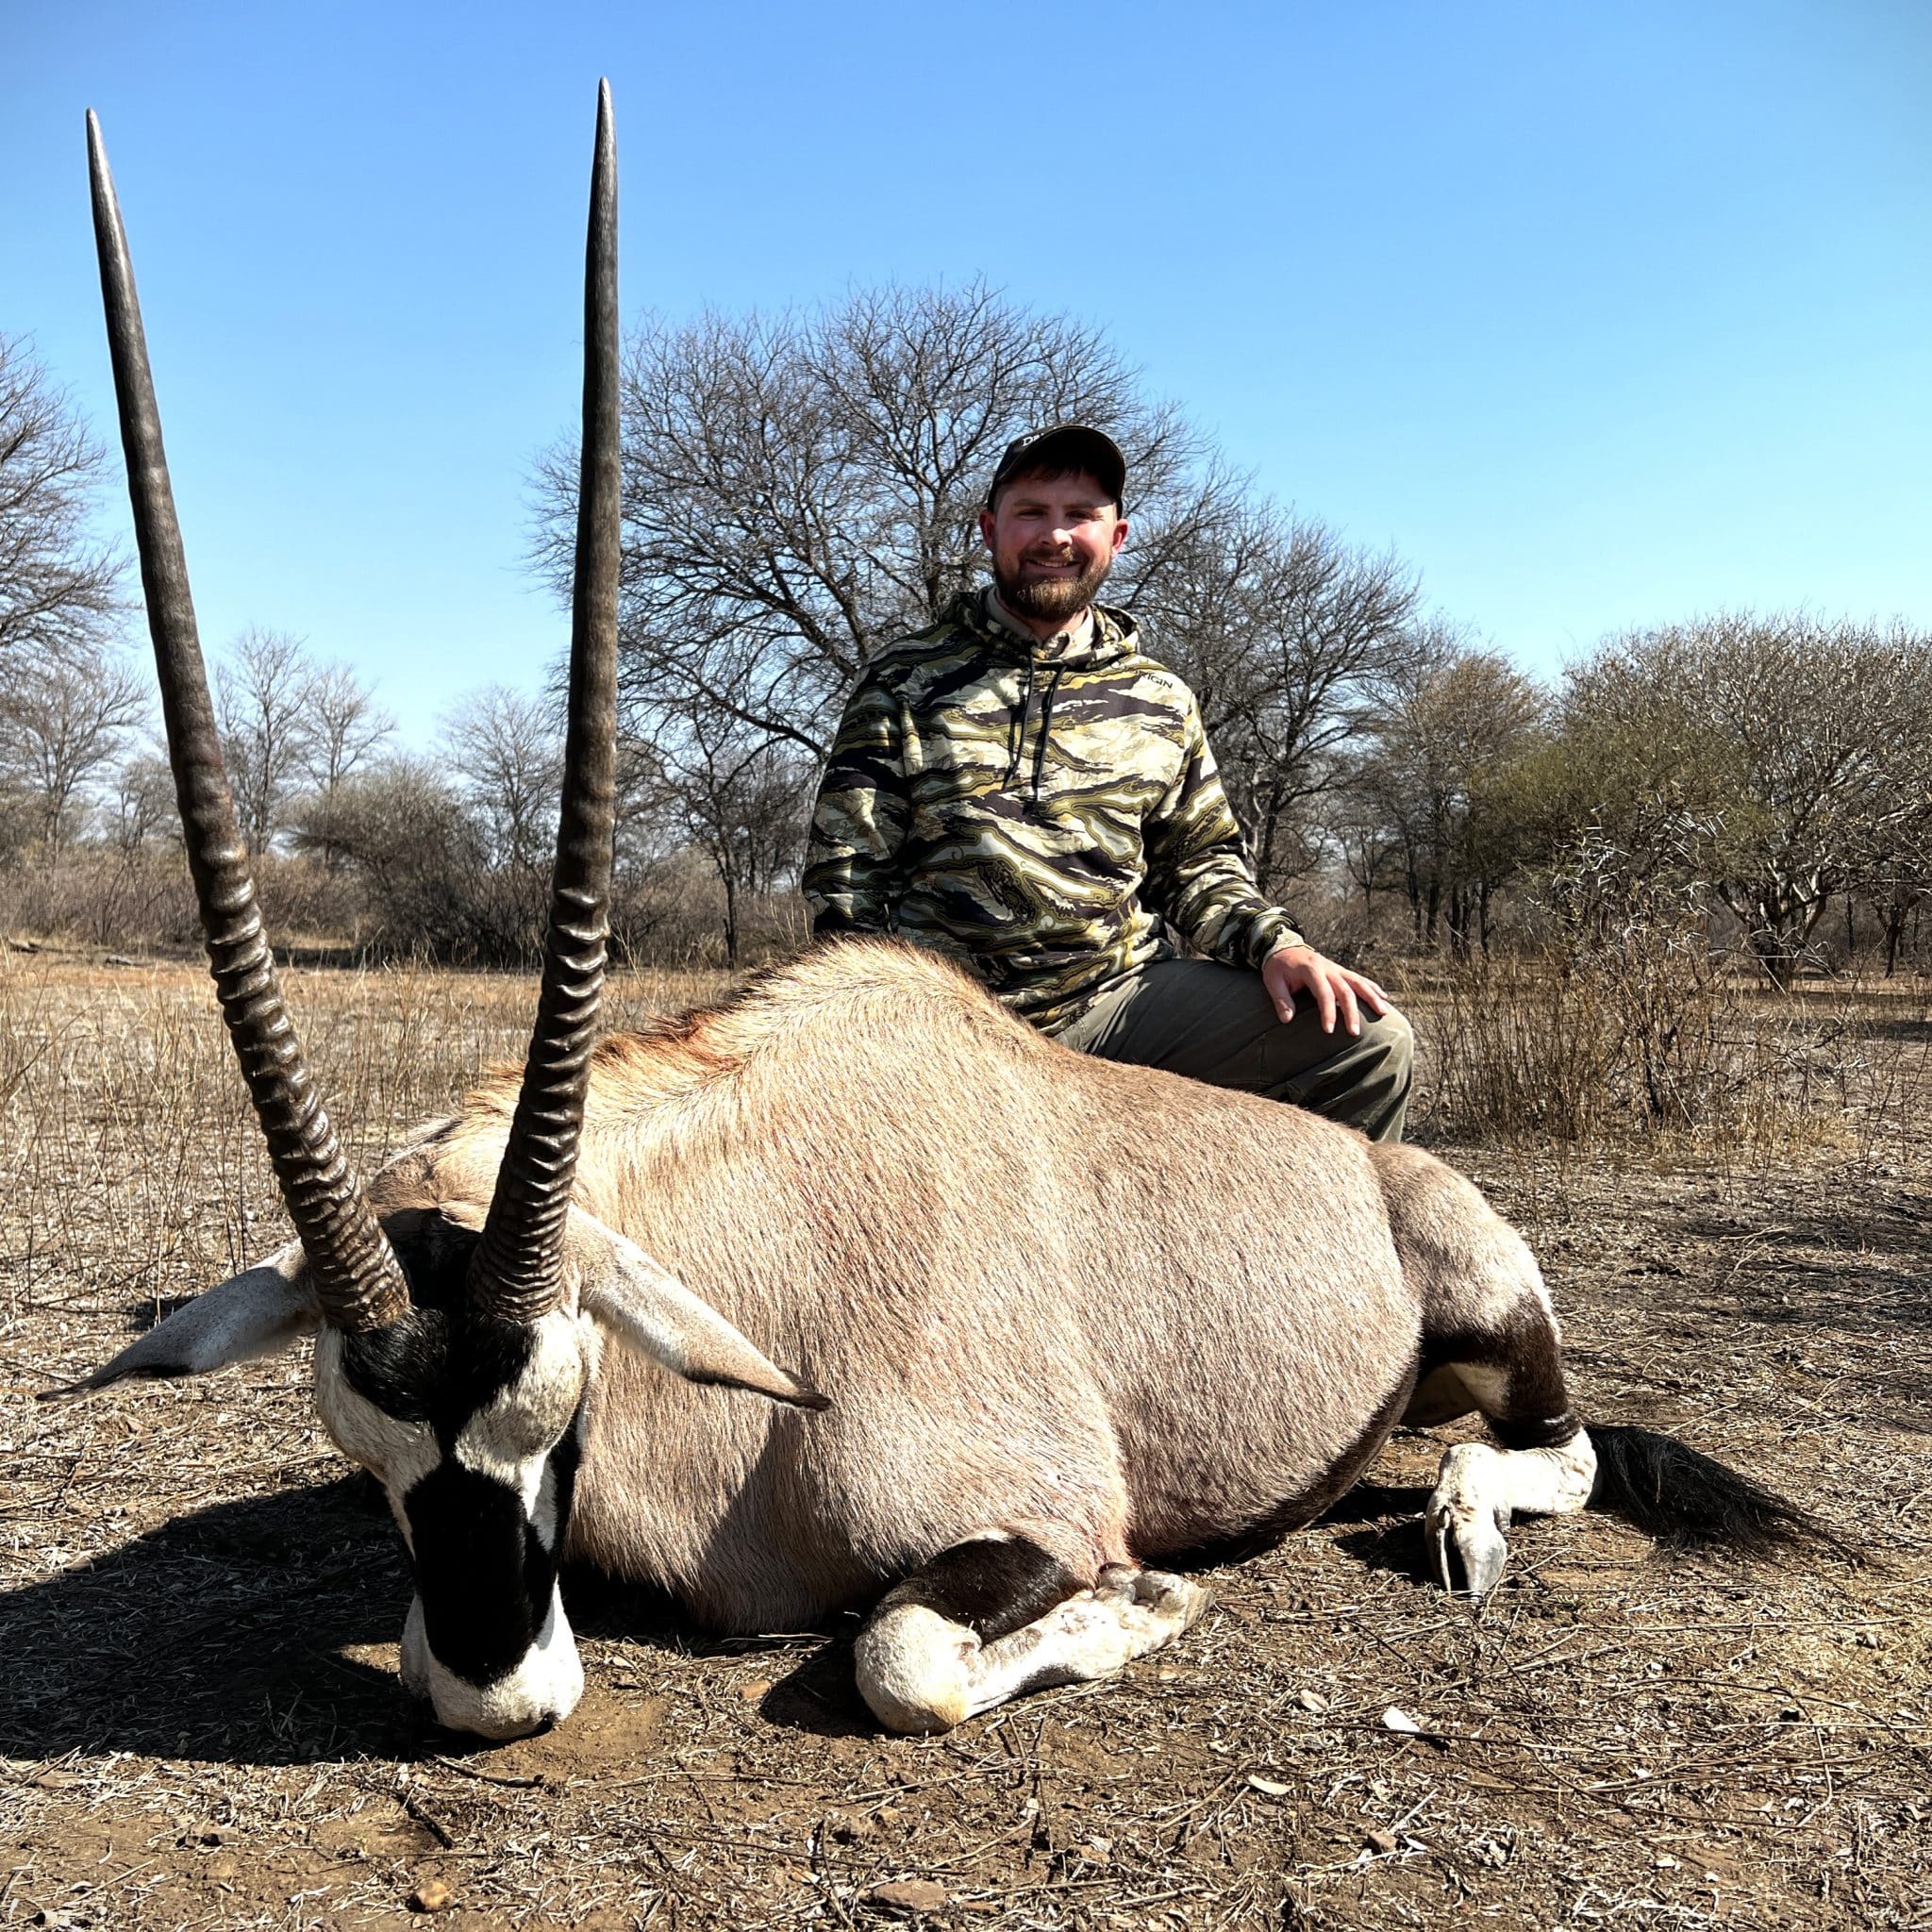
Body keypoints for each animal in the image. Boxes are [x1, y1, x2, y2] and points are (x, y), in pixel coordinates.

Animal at [49, 86, 1831, 1742]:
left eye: (564, 1413)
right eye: (362, 1449)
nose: (497, 1693)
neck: (757, 1271)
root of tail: (1385, 1169)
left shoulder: (1024, 1511)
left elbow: (902, 1658)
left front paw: (1154, 1596)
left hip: (1495, 1318)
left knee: (1557, 1448)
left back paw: (1462, 1518)